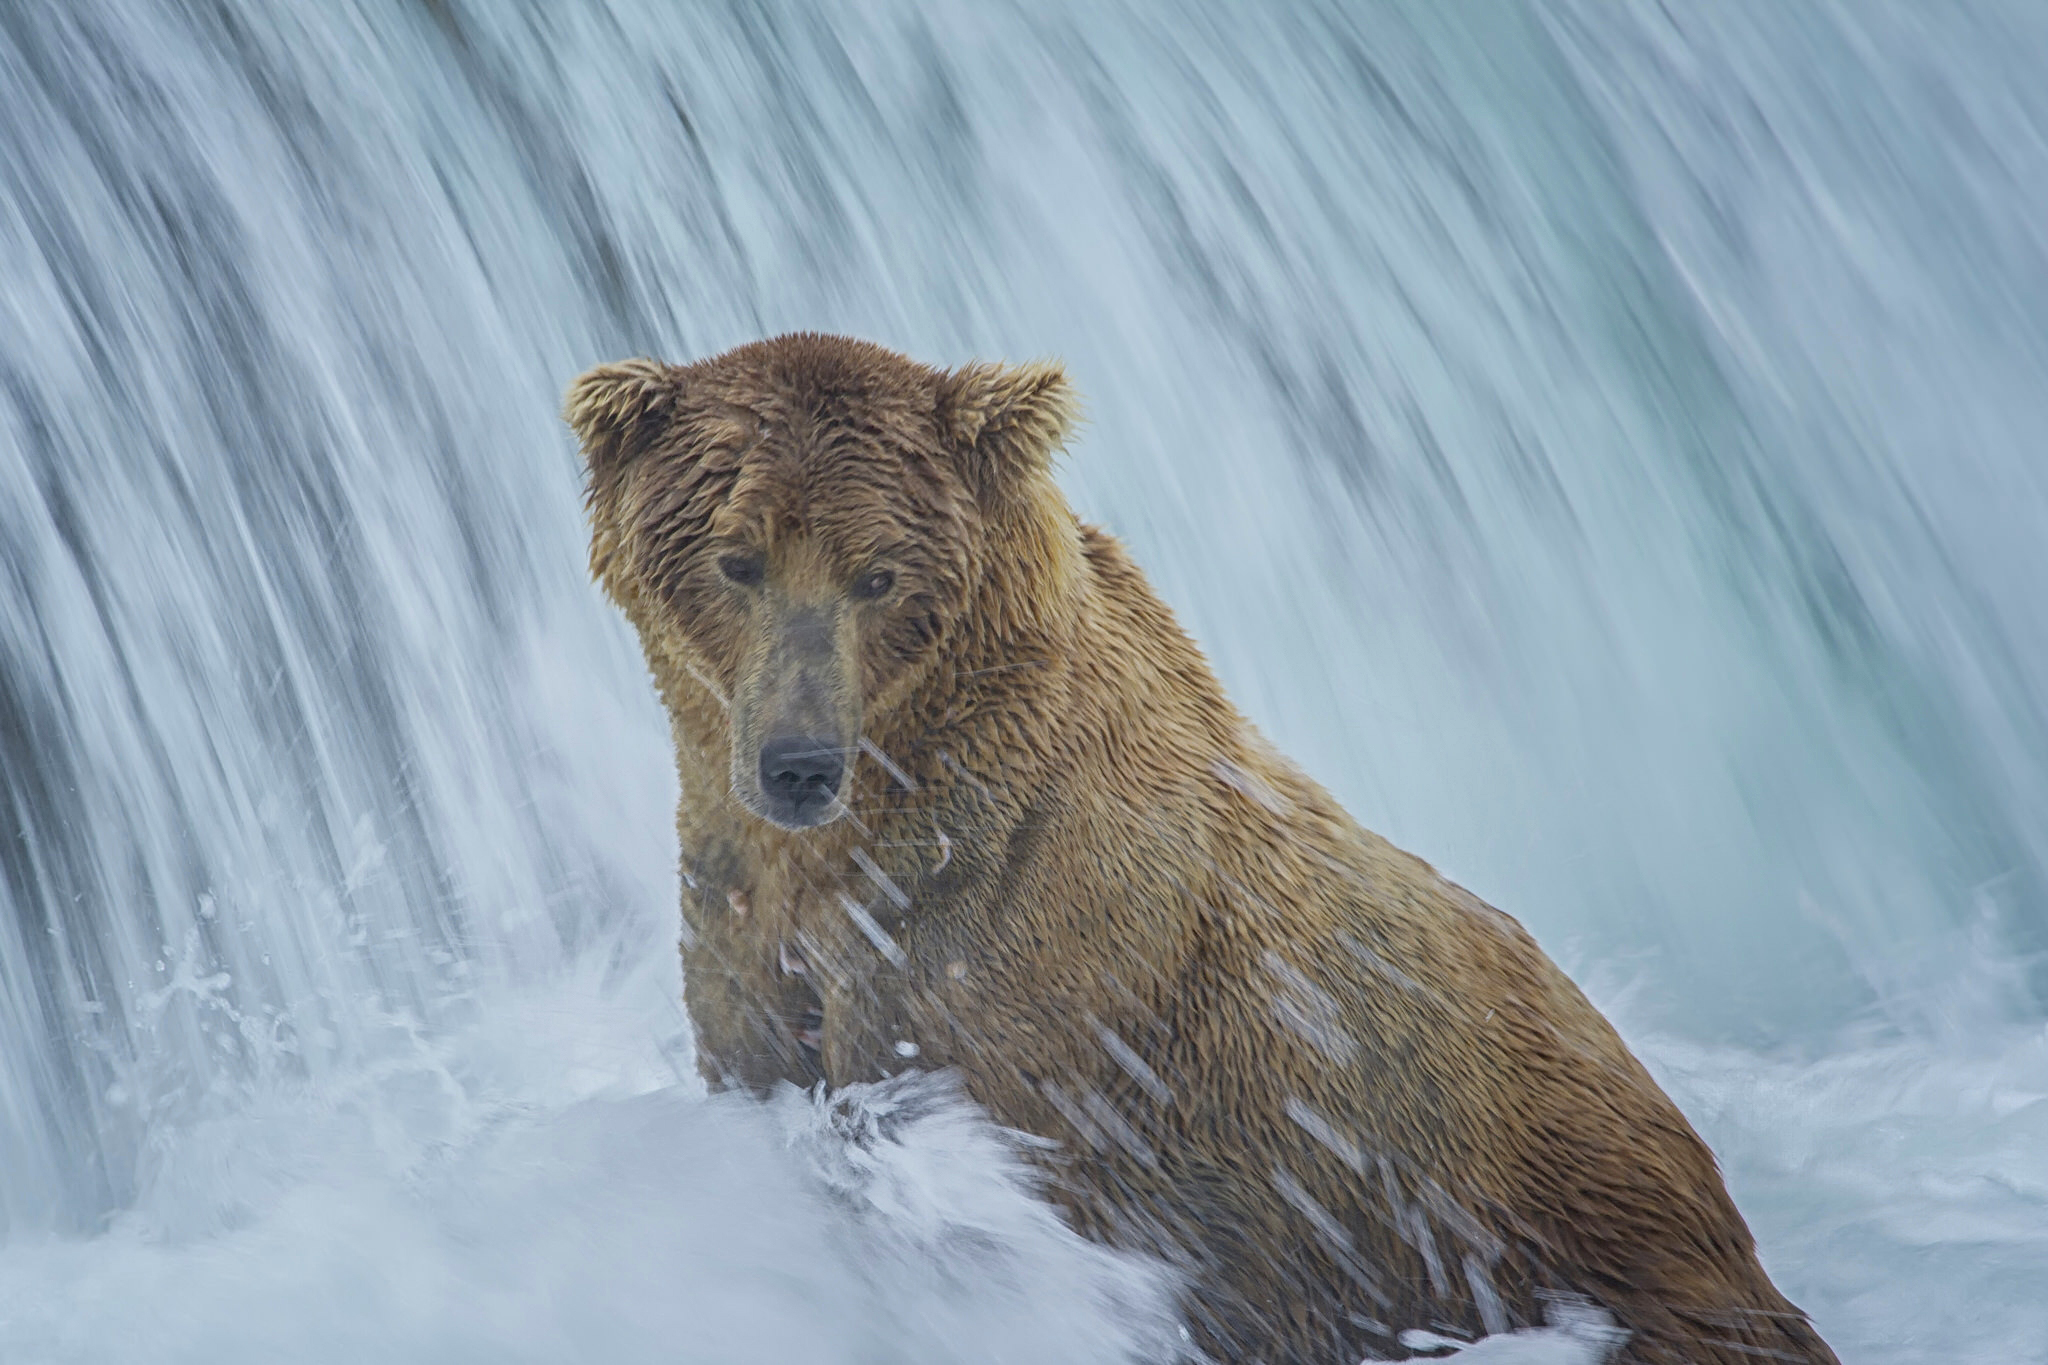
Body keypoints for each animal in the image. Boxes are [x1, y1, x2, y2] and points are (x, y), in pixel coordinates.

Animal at [565, 333, 1838, 1365]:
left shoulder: (1014, 963)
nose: (797, 765)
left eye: (878, 572)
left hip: (1563, 1220)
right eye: (734, 557)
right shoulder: (748, 924)